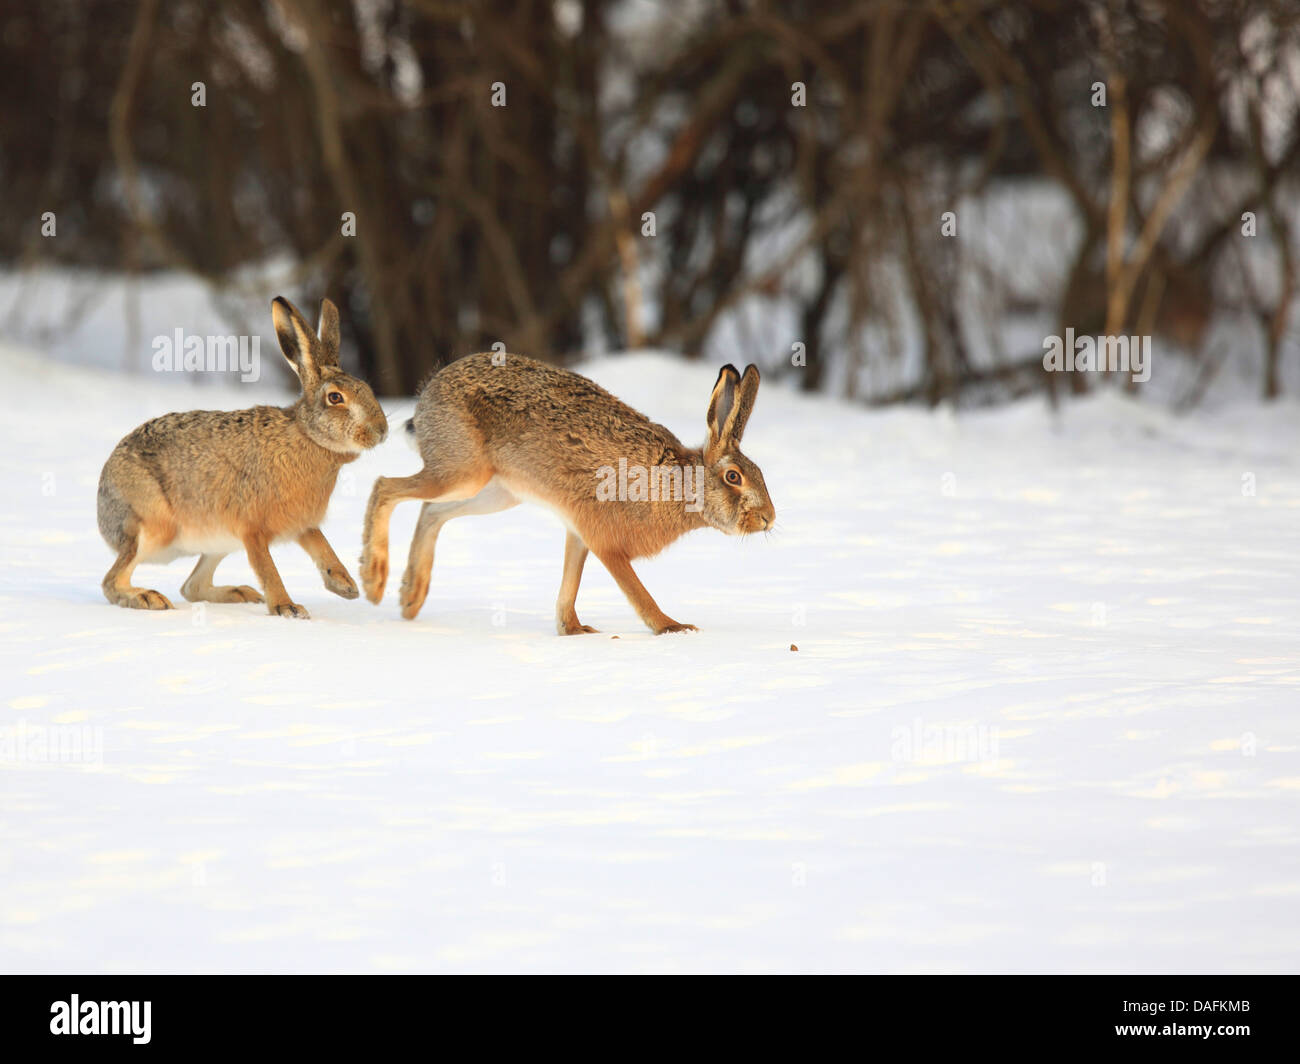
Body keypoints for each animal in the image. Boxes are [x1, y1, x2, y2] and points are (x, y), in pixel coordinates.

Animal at [97, 296, 388, 618]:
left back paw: (240, 593)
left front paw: (345, 585)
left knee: (192, 586)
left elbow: (322, 545)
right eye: (335, 398)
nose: (381, 431)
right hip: (153, 528)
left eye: (367, 389)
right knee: (112, 580)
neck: (306, 437)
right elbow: (268, 568)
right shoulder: (252, 529)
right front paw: (288, 608)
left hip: (218, 542)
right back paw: (147, 598)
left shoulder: (301, 524)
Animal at [359, 354, 774, 634]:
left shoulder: (578, 529)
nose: (769, 519)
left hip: (496, 493)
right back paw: (374, 579)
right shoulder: (605, 539)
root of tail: (430, 391)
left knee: (431, 511)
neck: (678, 483)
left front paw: (573, 630)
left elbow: (570, 583)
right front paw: (671, 627)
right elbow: (636, 591)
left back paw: (411, 597)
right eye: (734, 477)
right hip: (463, 471)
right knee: (385, 486)